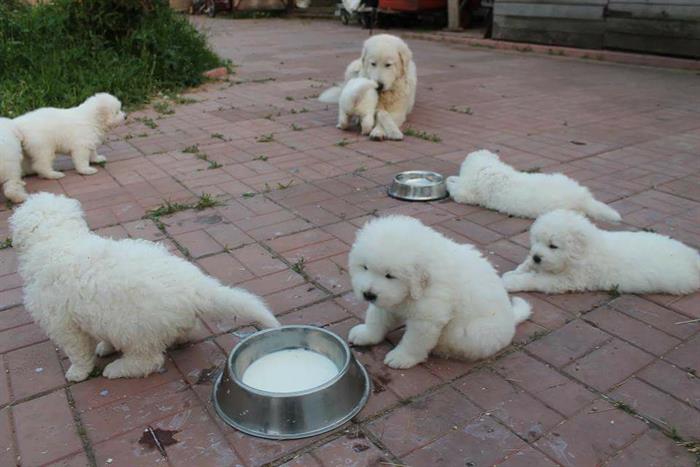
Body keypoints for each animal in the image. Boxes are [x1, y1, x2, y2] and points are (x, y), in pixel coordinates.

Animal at [10, 193, 278, 380]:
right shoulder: (94, 314)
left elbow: (77, 351)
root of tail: (192, 285)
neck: (58, 239)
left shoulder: (63, 323)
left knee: (148, 360)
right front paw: (104, 347)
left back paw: (117, 369)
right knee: (188, 330)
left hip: (135, 329)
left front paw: (77, 373)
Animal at [344, 216, 532, 370]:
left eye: (390, 276)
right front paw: (367, 334)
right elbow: (376, 318)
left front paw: (402, 357)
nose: (368, 294)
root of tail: (511, 320)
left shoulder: (427, 316)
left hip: (472, 333)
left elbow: (414, 340)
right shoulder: (388, 301)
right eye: (365, 267)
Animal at [504, 209, 700, 294]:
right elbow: (526, 266)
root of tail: (692, 257)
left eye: (553, 246)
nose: (537, 257)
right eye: (536, 241)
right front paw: (514, 272)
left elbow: (535, 279)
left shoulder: (567, 280)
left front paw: (511, 282)